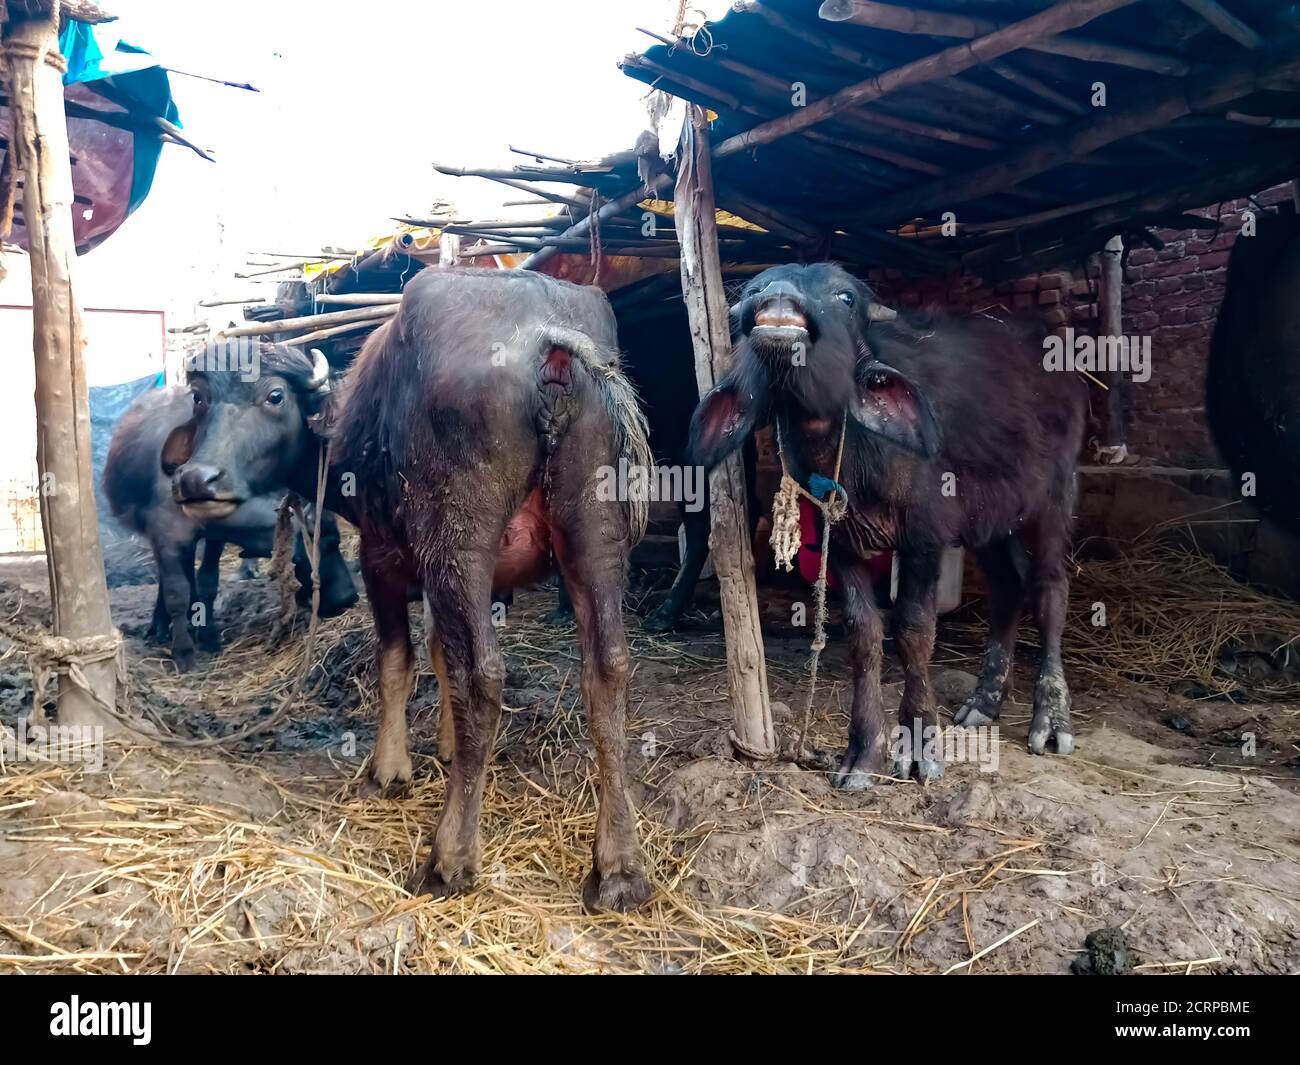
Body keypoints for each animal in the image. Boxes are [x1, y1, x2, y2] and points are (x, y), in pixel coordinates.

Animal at [689, 263, 1086, 788]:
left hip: (1055, 498)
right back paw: (983, 703)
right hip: (992, 520)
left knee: (1049, 591)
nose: (777, 297)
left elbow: (914, 630)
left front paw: (921, 746)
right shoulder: (841, 545)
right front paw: (862, 755)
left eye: (845, 297)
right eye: (754, 290)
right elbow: (863, 634)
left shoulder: (925, 538)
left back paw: (1052, 720)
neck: (852, 453)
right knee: (1008, 587)